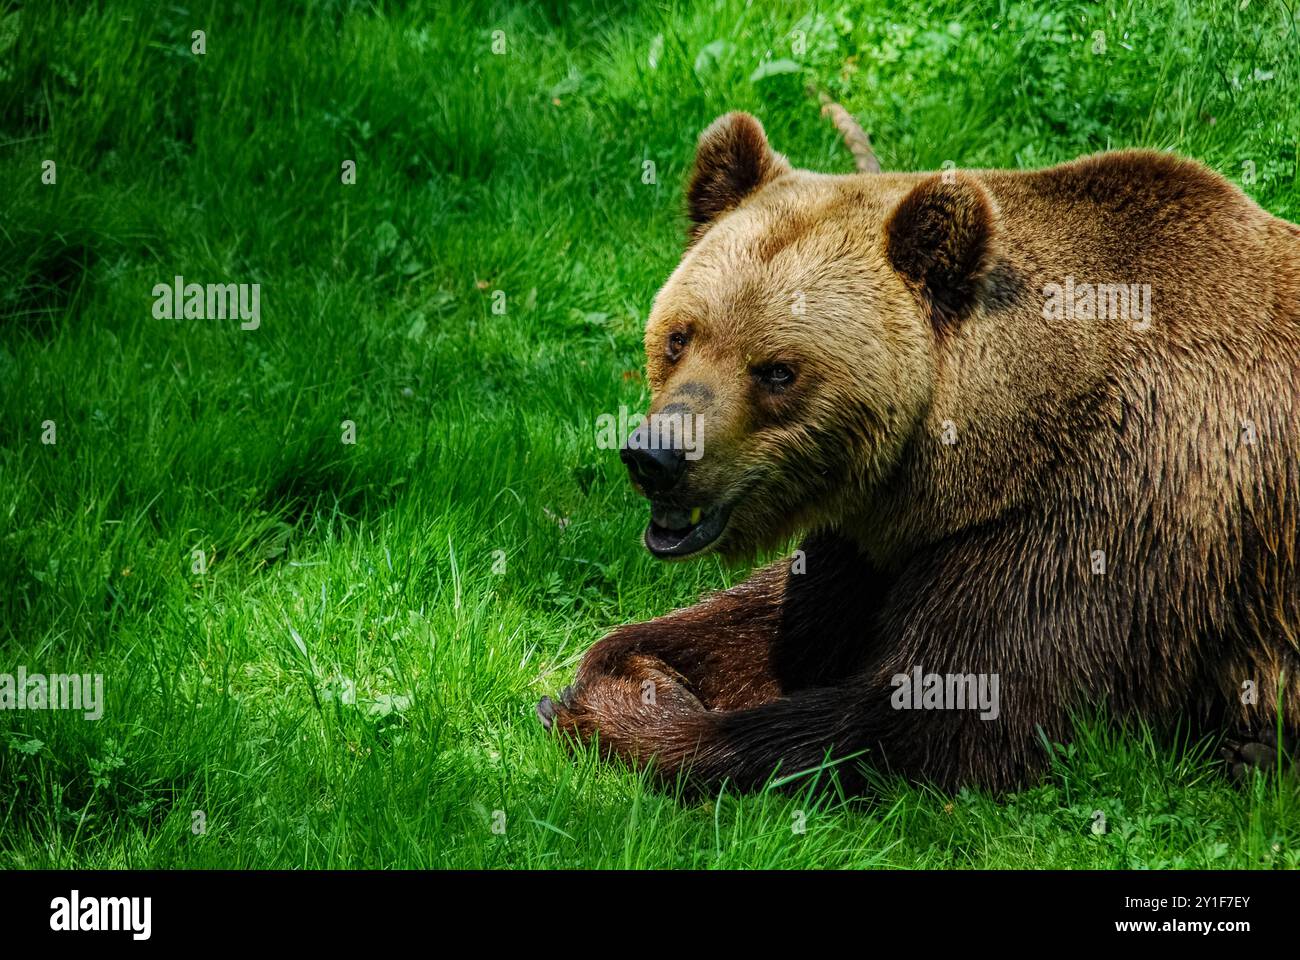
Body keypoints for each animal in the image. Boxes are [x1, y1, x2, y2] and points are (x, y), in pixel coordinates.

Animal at [537, 112, 1300, 794]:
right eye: (680, 336)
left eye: (778, 370)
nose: (657, 456)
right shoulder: (882, 542)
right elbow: (762, 625)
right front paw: (627, 676)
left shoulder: (1104, 524)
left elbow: (931, 713)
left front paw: (629, 721)